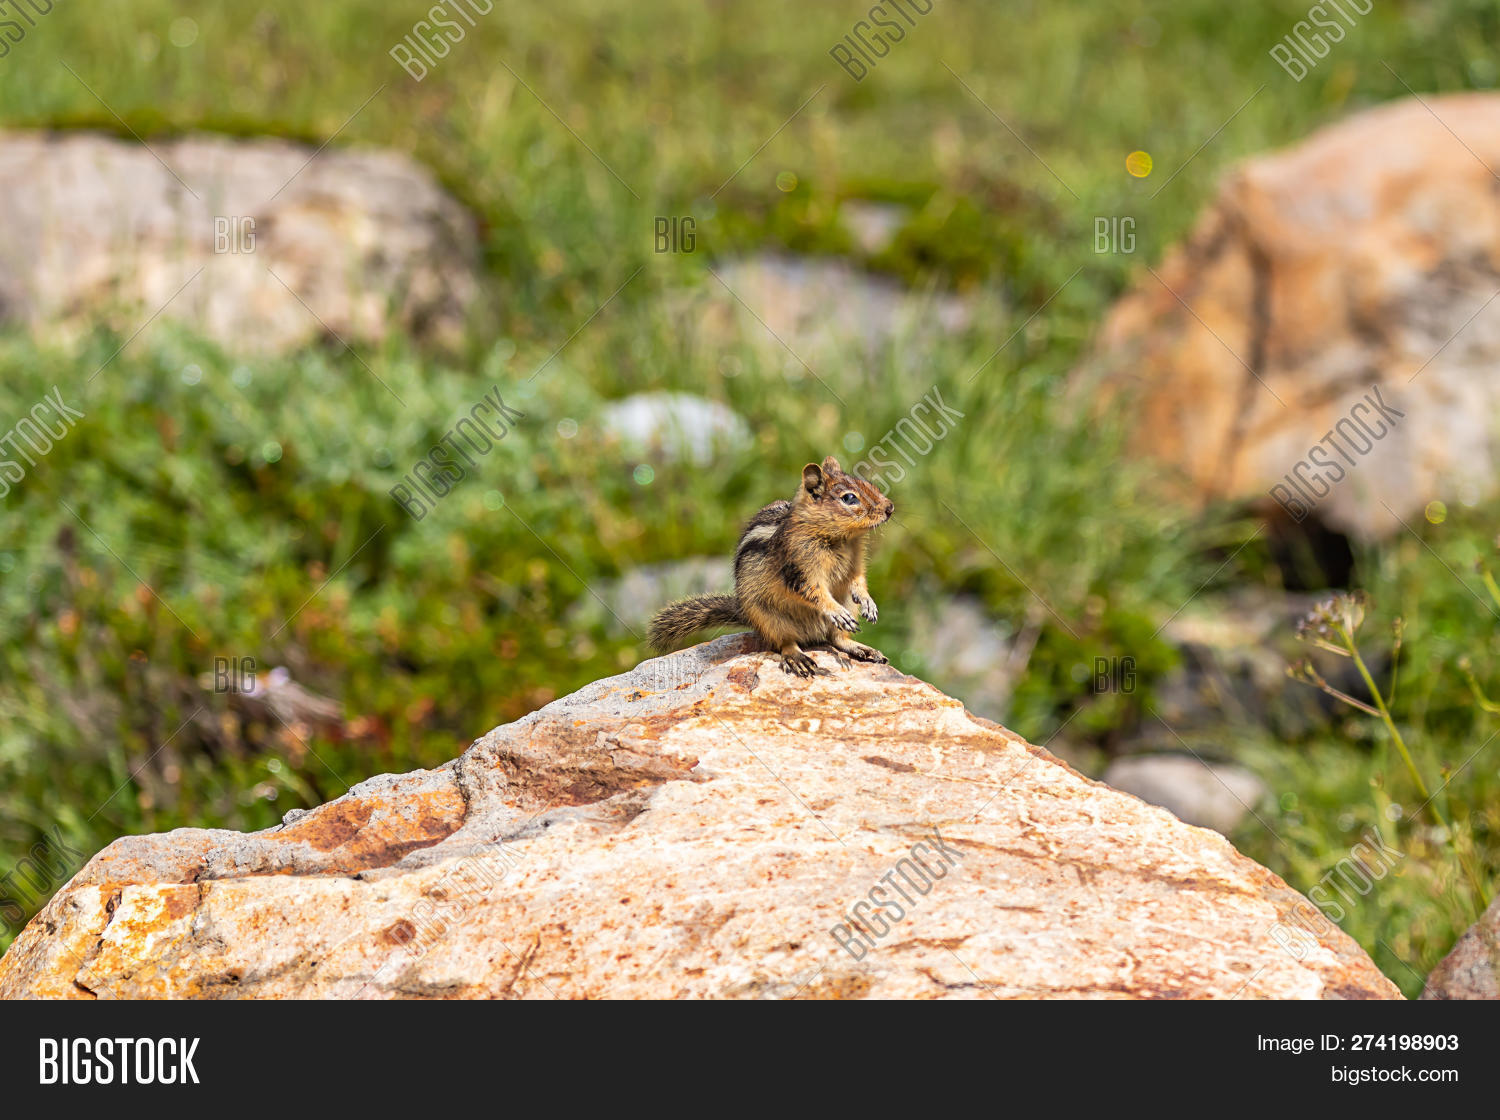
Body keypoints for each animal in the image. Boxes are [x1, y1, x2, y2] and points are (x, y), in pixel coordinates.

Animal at [648, 455, 894, 676]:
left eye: (871, 485)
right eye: (849, 498)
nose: (890, 507)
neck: (840, 539)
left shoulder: (856, 563)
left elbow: (858, 581)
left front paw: (868, 602)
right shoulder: (797, 567)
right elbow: (814, 591)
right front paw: (835, 610)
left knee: (837, 639)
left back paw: (863, 649)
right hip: (770, 618)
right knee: (785, 643)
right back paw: (798, 657)